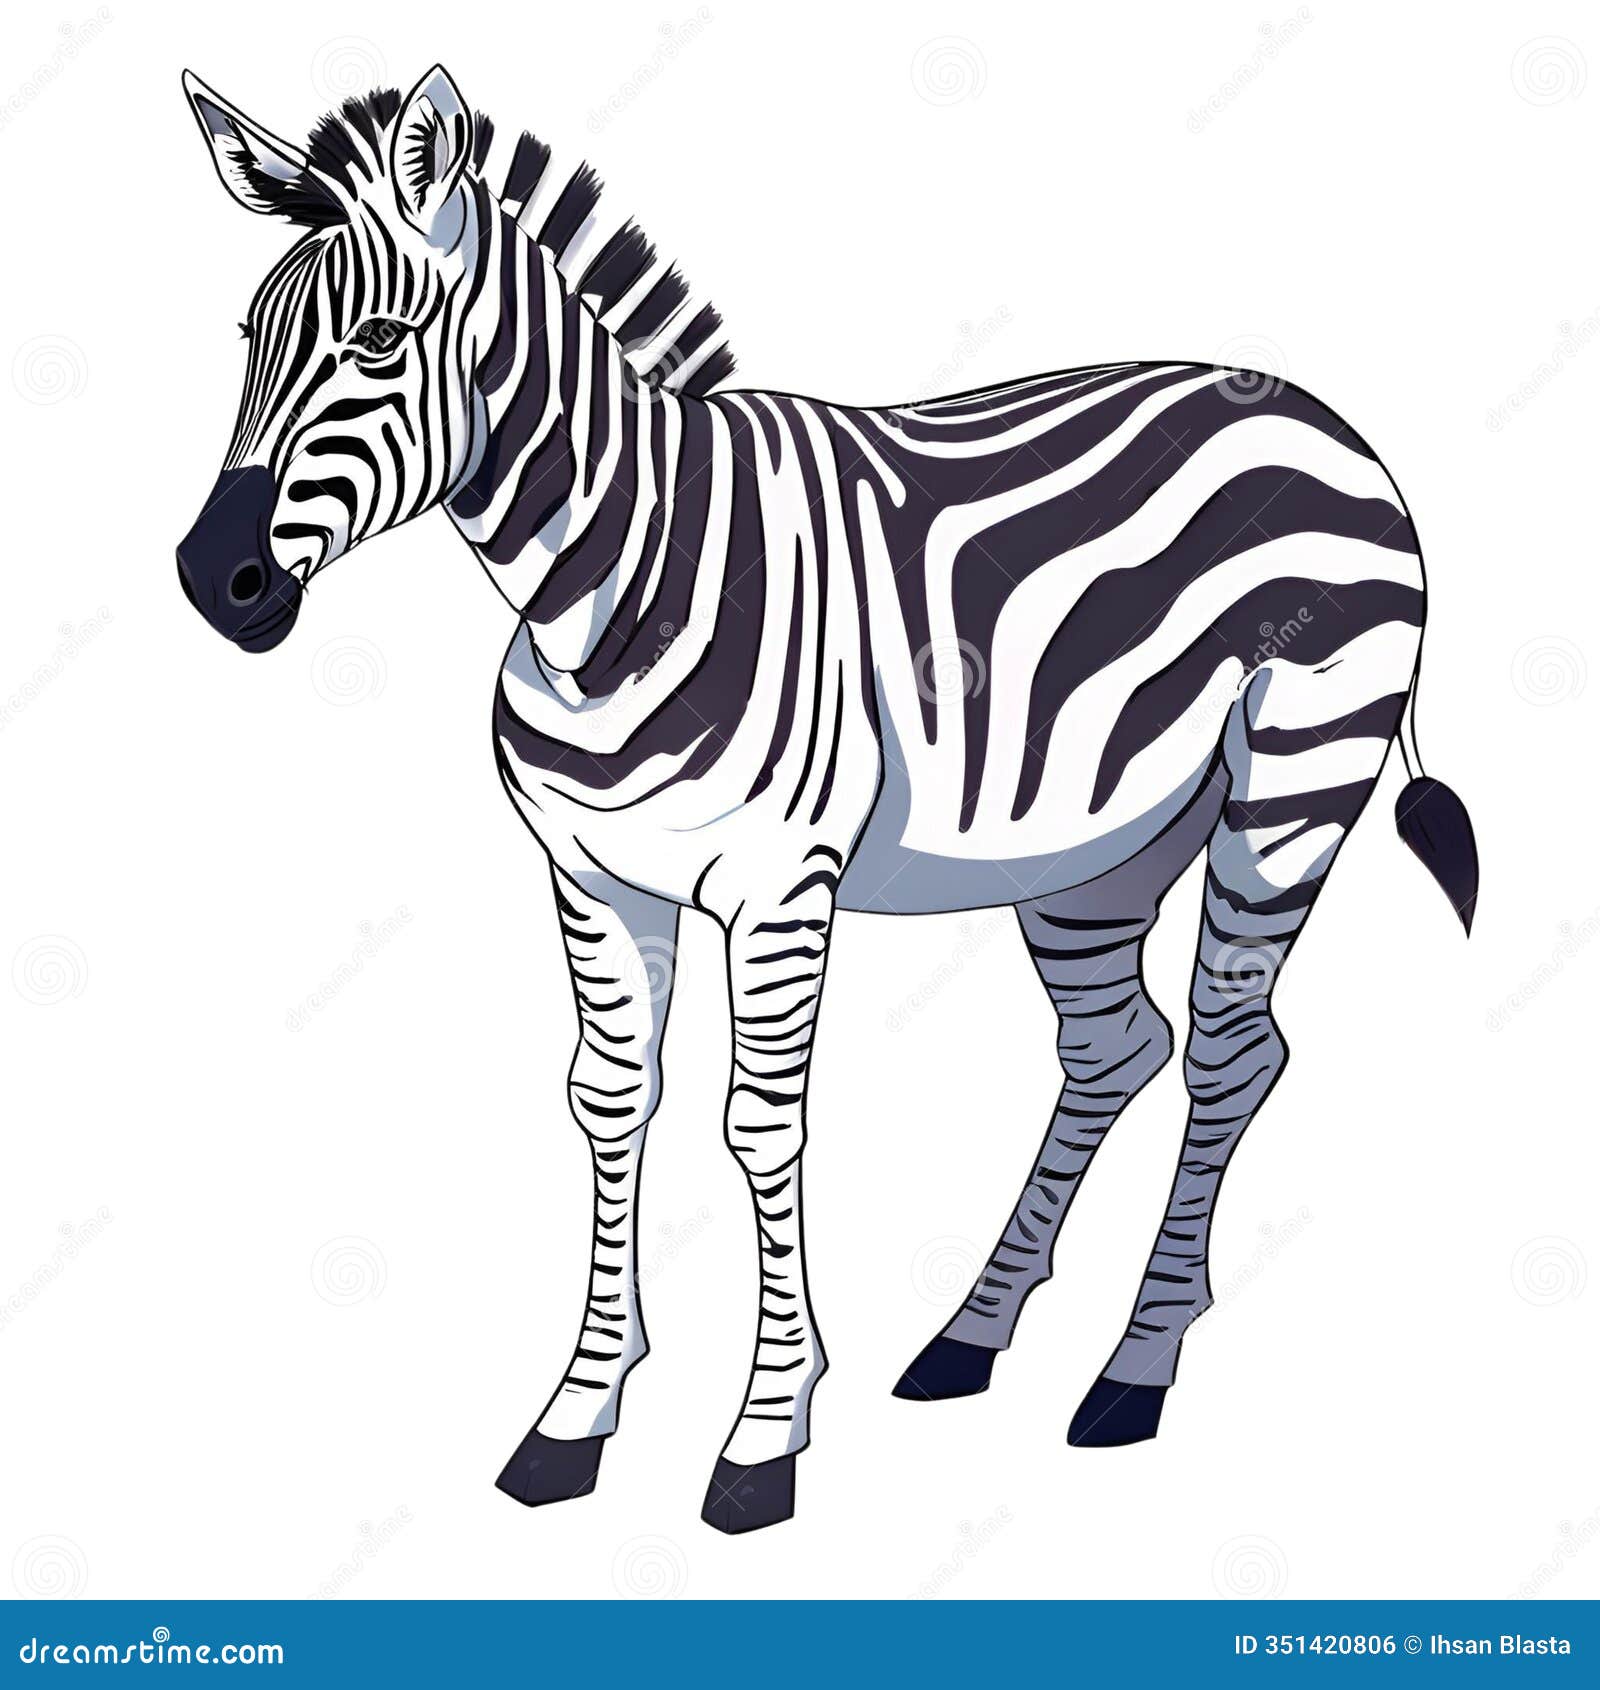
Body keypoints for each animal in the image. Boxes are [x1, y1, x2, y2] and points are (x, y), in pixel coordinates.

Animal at [176, 64, 1479, 1535]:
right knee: (1116, 1048)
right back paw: (972, 1334)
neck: (615, 580)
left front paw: (763, 1436)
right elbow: (608, 1099)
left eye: (382, 341)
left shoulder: (778, 887)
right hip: (1099, 852)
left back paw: (1134, 1369)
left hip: (1293, 783)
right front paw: (575, 1415)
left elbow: (759, 1125)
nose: (211, 579)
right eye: (248, 339)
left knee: (1228, 1051)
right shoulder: (594, 878)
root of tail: (1314, 410)